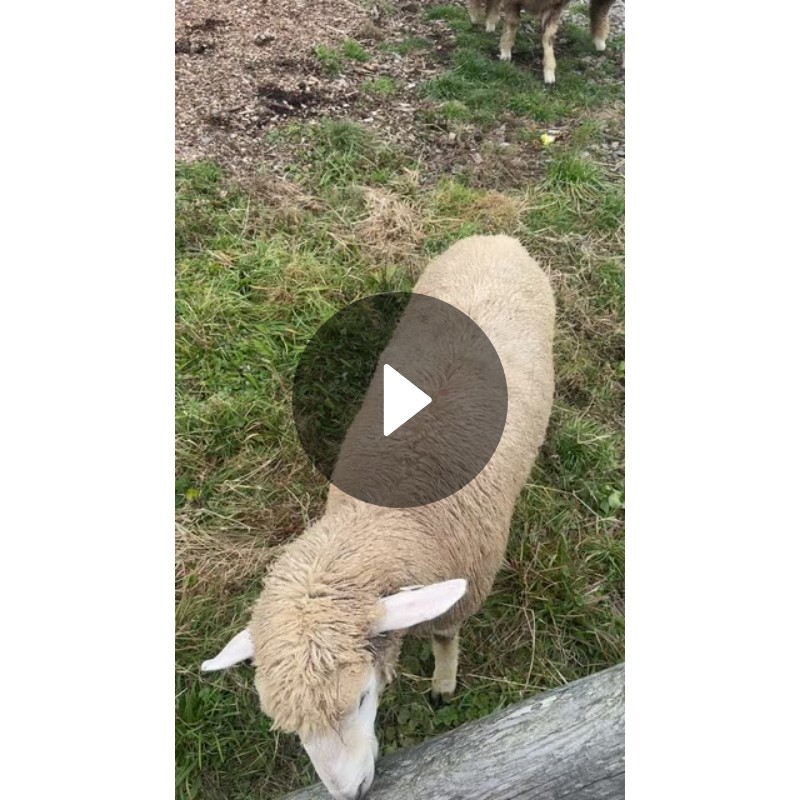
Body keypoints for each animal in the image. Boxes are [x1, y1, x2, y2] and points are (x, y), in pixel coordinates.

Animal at [202, 234, 555, 800]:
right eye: (293, 729)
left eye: (364, 698)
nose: (349, 792)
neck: (380, 518)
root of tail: (496, 239)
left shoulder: (460, 595)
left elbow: (444, 640)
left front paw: (442, 687)